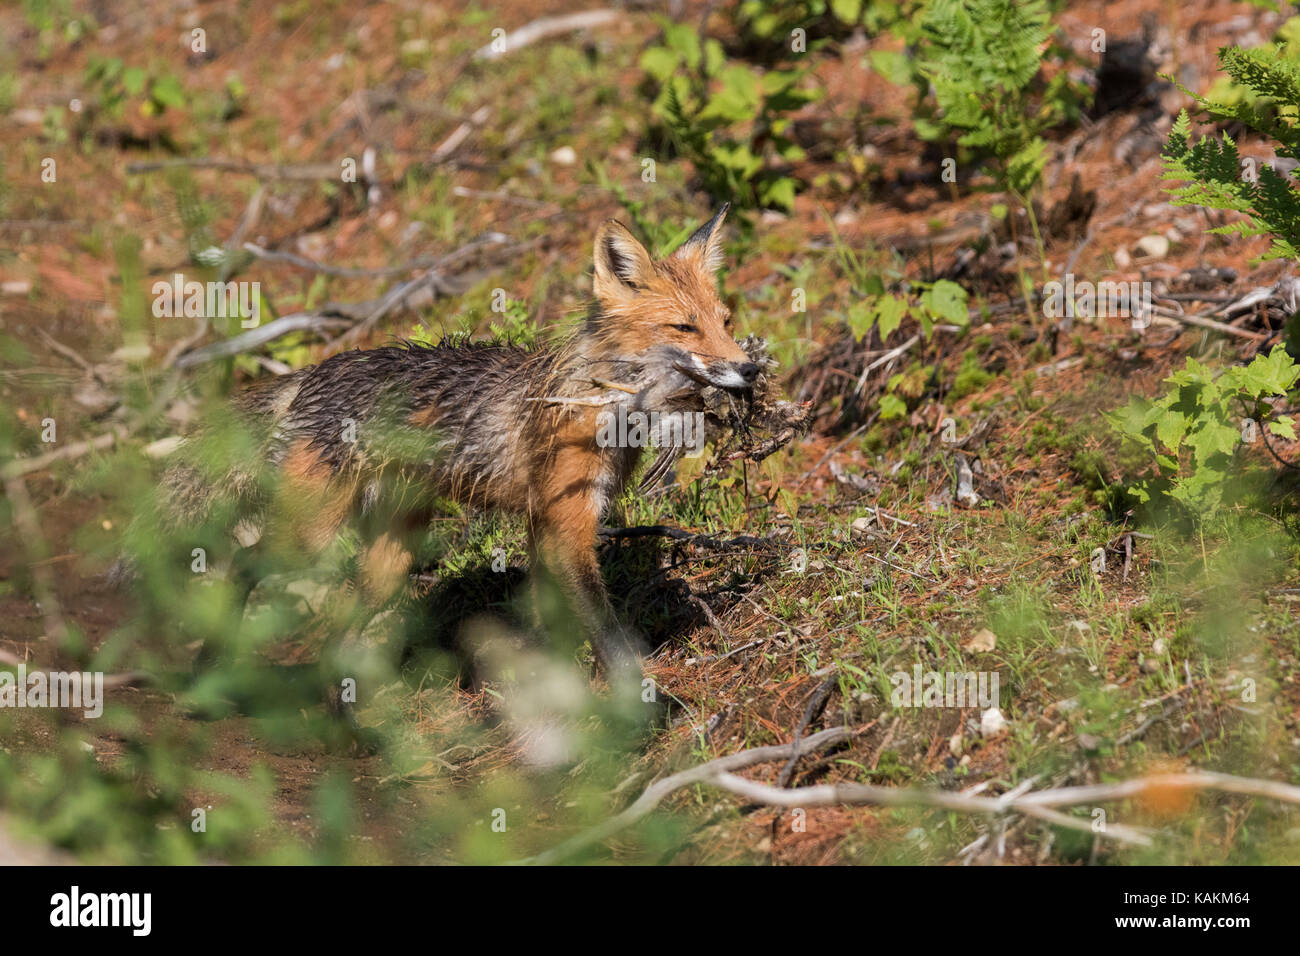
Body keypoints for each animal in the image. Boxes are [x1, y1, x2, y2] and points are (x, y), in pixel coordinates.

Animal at [129, 204, 762, 705]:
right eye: (684, 327)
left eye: (726, 321)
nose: (749, 369)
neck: (601, 399)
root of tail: (315, 371)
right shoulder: (566, 526)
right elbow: (606, 631)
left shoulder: (548, 530)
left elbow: (554, 627)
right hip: (310, 534)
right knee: (245, 564)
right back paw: (209, 673)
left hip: (390, 558)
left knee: (338, 626)